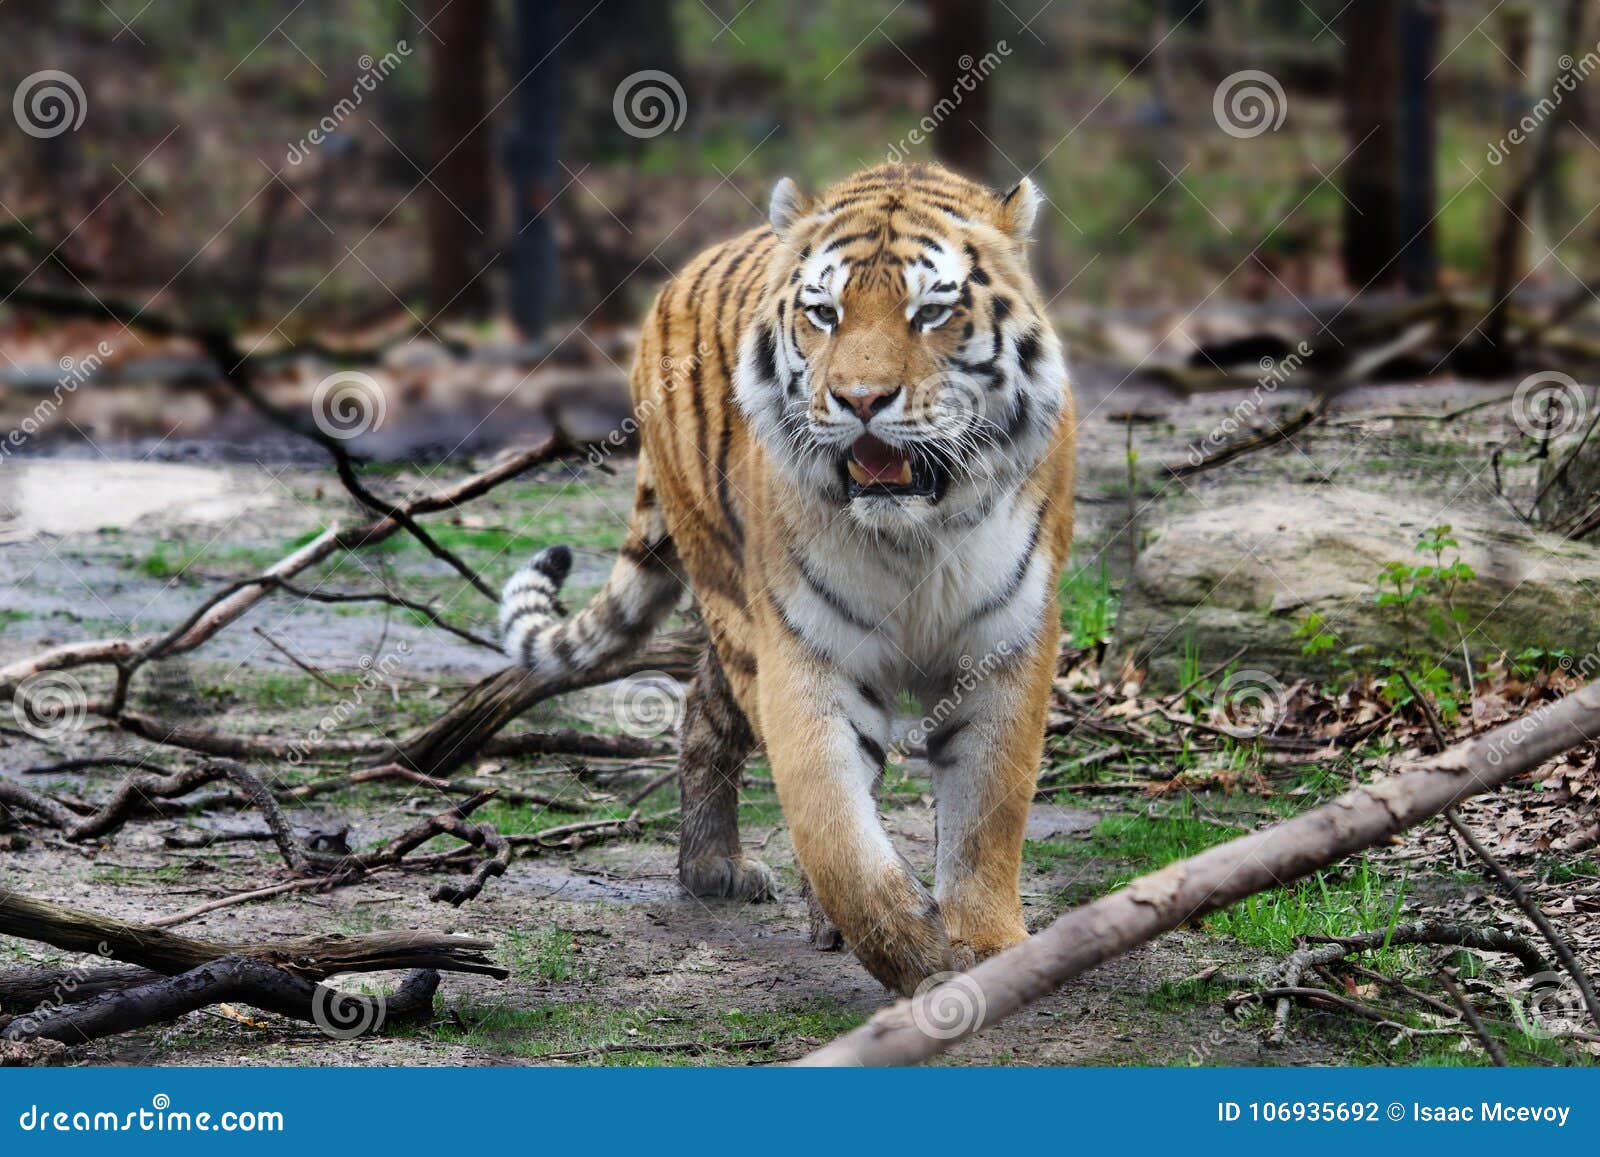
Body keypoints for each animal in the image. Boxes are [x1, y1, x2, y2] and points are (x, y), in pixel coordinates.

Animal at [500, 162, 1075, 996]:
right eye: (824, 313)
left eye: (932, 311)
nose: (861, 400)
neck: (918, 534)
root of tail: (679, 277)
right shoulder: (809, 648)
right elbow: (833, 816)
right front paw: (912, 949)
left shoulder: (1005, 642)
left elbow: (987, 810)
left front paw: (991, 945)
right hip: (736, 603)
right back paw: (745, 879)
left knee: (701, 710)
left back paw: (713, 867)